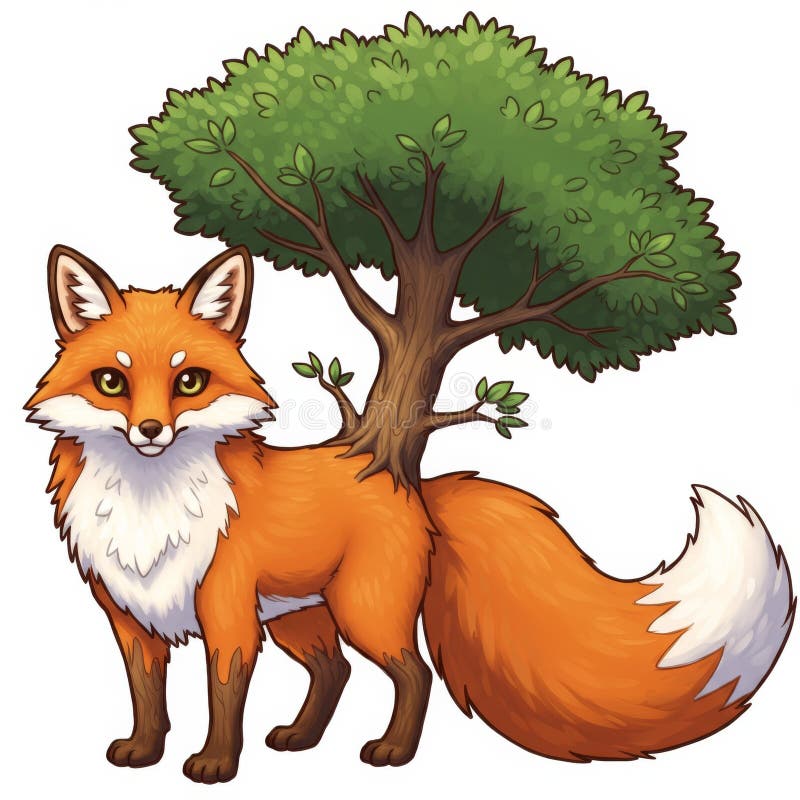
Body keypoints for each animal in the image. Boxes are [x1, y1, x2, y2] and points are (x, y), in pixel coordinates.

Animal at [26, 243, 795, 783]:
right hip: (304, 615)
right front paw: (143, 751)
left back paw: (392, 752)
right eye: (111, 382)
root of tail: (398, 477)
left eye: (189, 380)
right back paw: (302, 739)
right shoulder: (131, 618)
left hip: (361, 610)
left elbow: (222, 698)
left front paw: (216, 765)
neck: (149, 510)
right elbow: (146, 697)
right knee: (335, 672)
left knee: (412, 674)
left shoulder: (228, 616)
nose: (151, 430)